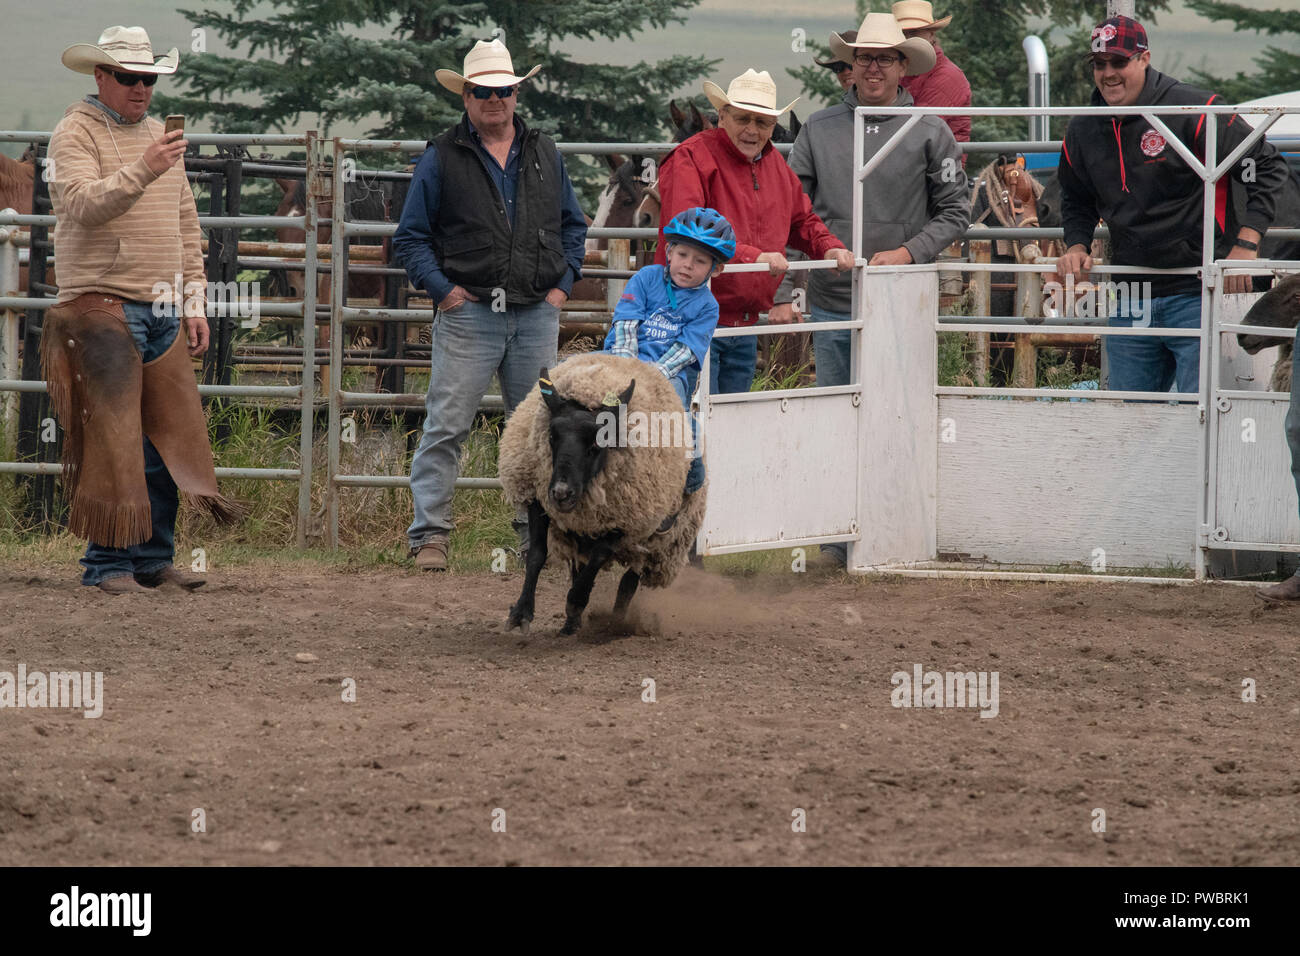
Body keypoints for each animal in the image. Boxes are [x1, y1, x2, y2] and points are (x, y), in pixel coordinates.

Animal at [497, 352, 707, 635]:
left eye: (599, 441)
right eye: (551, 435)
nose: (561, 493)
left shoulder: (624, 522)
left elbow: (598, 558)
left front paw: (576, 601)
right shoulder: (538, 501)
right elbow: (537, 555)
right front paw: (521, 613)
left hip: (653, 537)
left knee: (629, 580)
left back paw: (614, 622)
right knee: (580, 563)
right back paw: (570, 626)